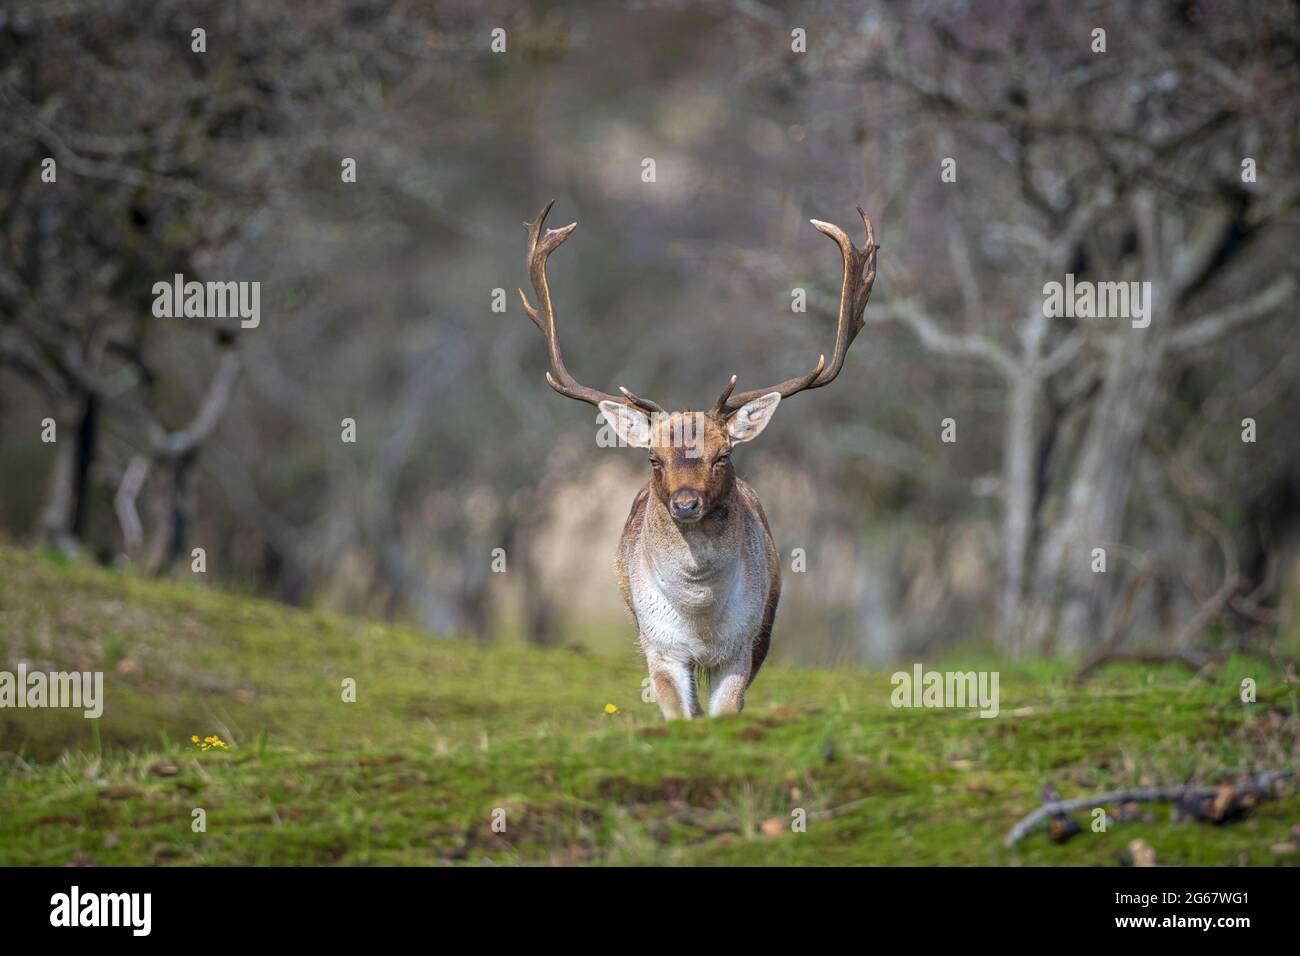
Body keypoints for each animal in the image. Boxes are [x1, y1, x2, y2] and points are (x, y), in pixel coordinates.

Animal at [518, 202, 877, 719]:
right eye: (653, 459)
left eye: (723, 454)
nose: (686, 504)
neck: (700, 619)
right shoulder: (660, 646)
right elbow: (678, 715)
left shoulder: (742, 647)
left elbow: (725, 711)